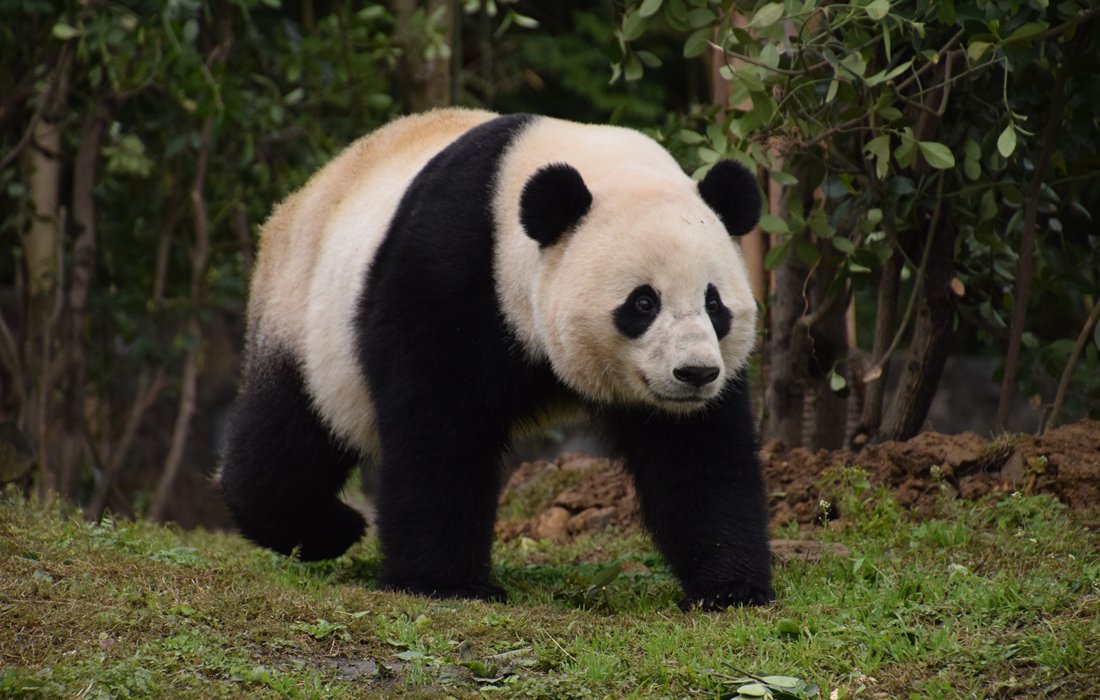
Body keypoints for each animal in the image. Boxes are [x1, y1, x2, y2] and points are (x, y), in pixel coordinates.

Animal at [219, 109, 773, 610]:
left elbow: (698, 454)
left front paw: (730, 588)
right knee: (290, 437)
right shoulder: (449, 273)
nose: (695, 374)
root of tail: (302, 195)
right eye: (643, 303)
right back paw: (325, 529)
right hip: (306, 319)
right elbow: (438, 431)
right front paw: (445, 584)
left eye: (714, 304)